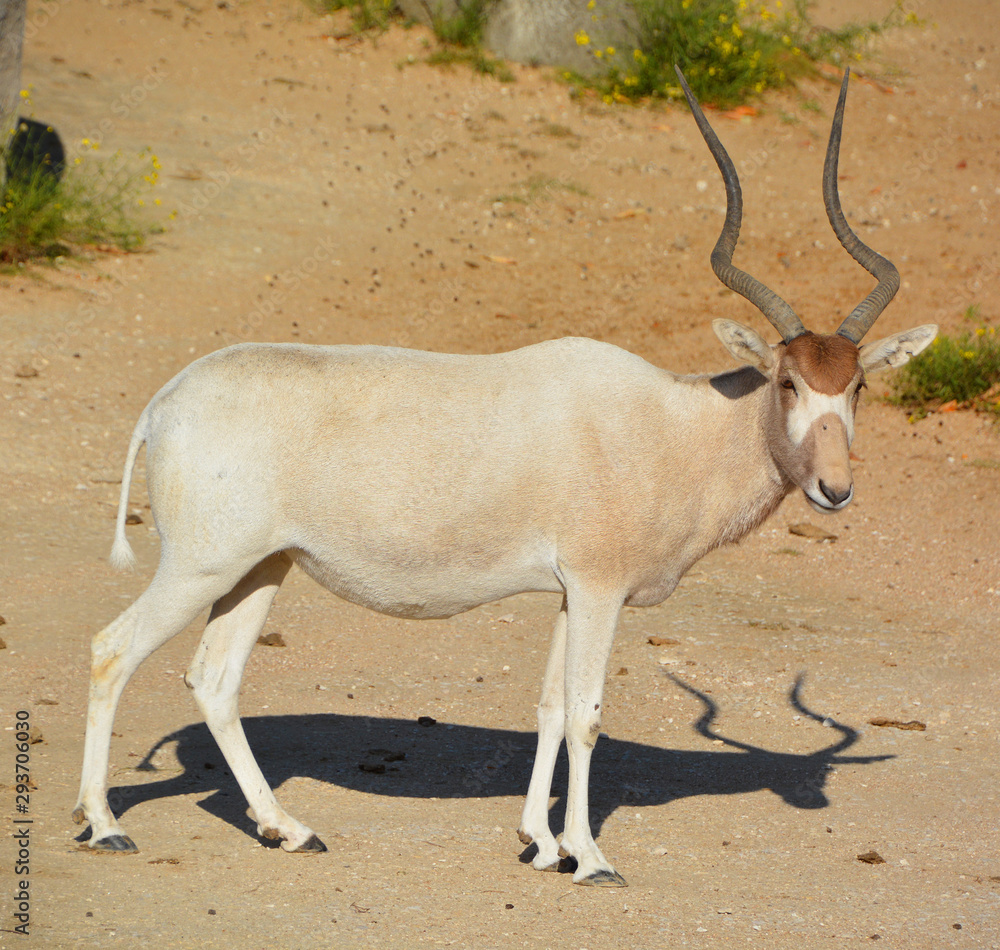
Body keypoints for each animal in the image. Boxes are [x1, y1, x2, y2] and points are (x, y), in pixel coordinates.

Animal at [73, 69, 935, 887]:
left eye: (858, 386)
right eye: (787, 382)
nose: (834, 489)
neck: (674, 423)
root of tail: (165, 402)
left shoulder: (567, 592)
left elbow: (550, 706)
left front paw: (542, 843)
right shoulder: (598, 588)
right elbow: (586, 714)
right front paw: (591, 857)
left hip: (260, 568)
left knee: (215, 680)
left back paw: (288, 829)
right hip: (200, 565)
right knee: (114, 649)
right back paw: (105, 825)